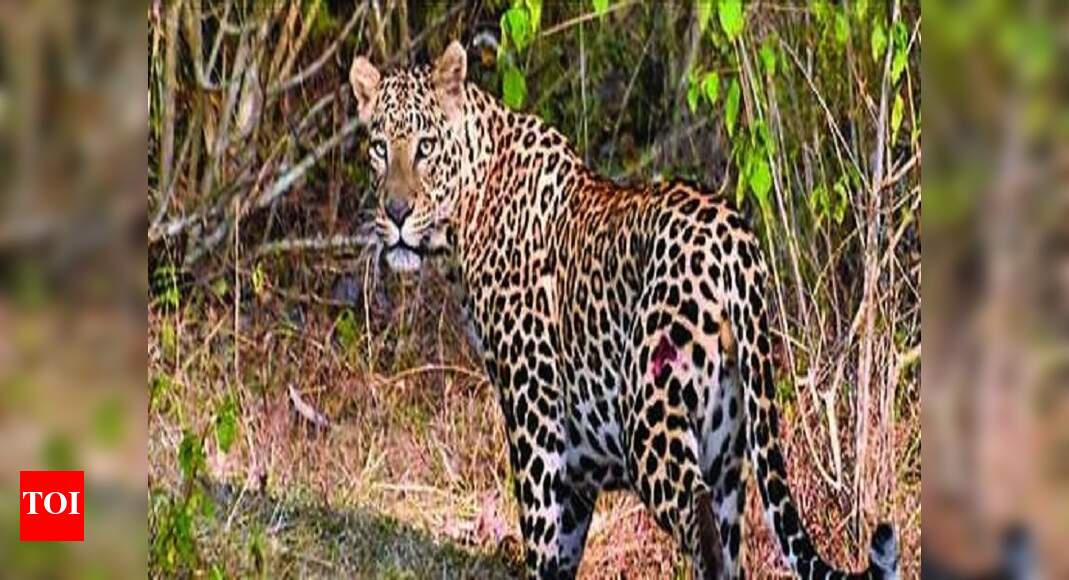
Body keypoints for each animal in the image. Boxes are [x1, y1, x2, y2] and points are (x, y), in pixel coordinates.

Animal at [348, 40, 899, 580]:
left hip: (652, 421)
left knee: (701, 530)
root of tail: (732, 239)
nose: (395, 212)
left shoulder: (534, 414)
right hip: (730, 444)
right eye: (379, 147)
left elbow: (539, 536)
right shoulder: (575, 461)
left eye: (425, 147)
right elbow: (562, 551)